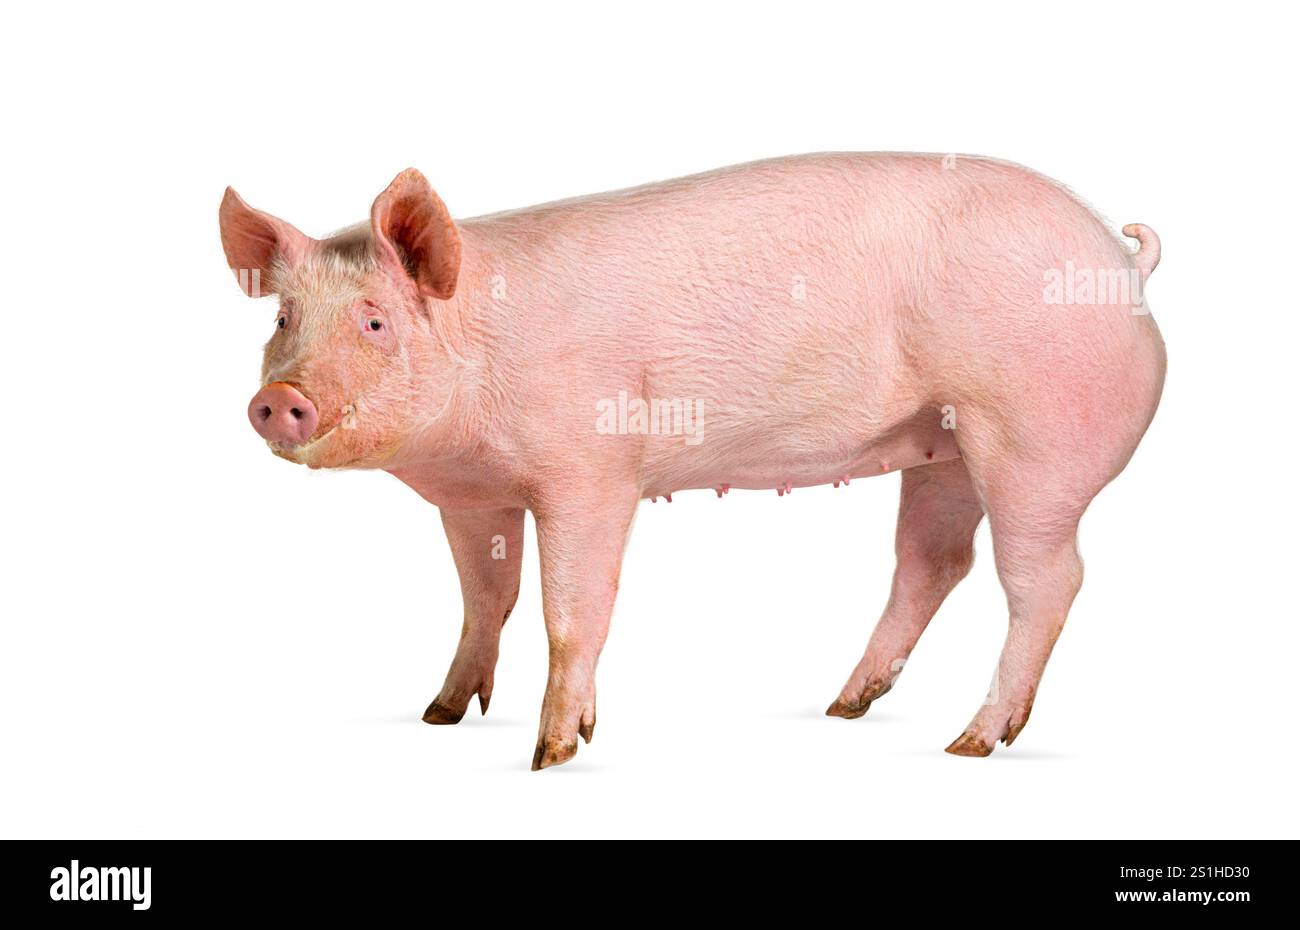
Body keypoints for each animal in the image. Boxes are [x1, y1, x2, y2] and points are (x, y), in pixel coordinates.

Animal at [220, 153, 1165, 769]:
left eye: (375, 320)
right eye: (282, 320)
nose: (278, 398)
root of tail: (1122, 263)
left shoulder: (591, 473)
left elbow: (570, 612)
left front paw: (551, 754)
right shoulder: (473, 498)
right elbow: (485, 600)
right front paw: (439, 716)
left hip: (1034, 441)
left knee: (1048, 579)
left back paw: (970, 744)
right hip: (944, 448)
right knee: (934, 561)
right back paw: (844, 706)